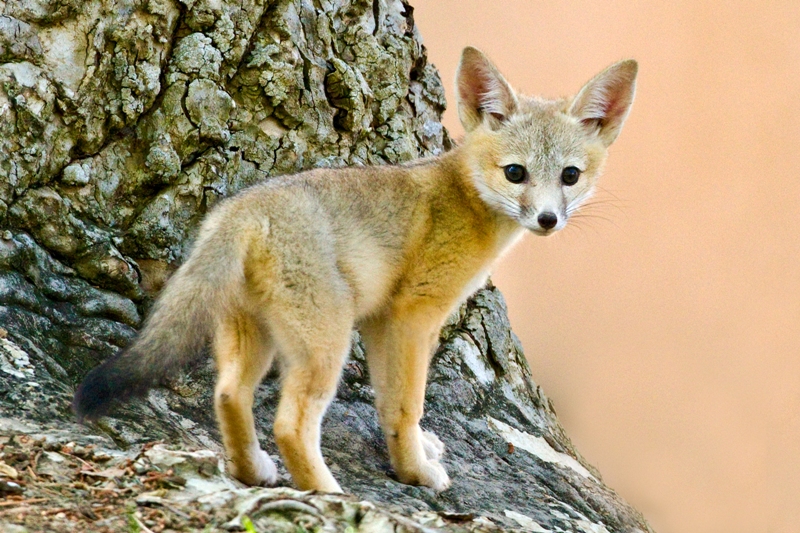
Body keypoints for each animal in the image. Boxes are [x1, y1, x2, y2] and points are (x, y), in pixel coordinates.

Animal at [73, 47, 637, 493]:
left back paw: (252, 470)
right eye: (515, 173)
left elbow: (390, 405)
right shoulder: (412, 316)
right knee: (289, 424)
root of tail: (246, 210)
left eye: (570, 176)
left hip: (256, 336)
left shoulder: (386, 321)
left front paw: (414, 455)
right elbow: (405, 405)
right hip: (327, 344)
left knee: (229, 395)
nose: (547, 220)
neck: (462, 199)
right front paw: (414, 471)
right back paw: (329, 493)